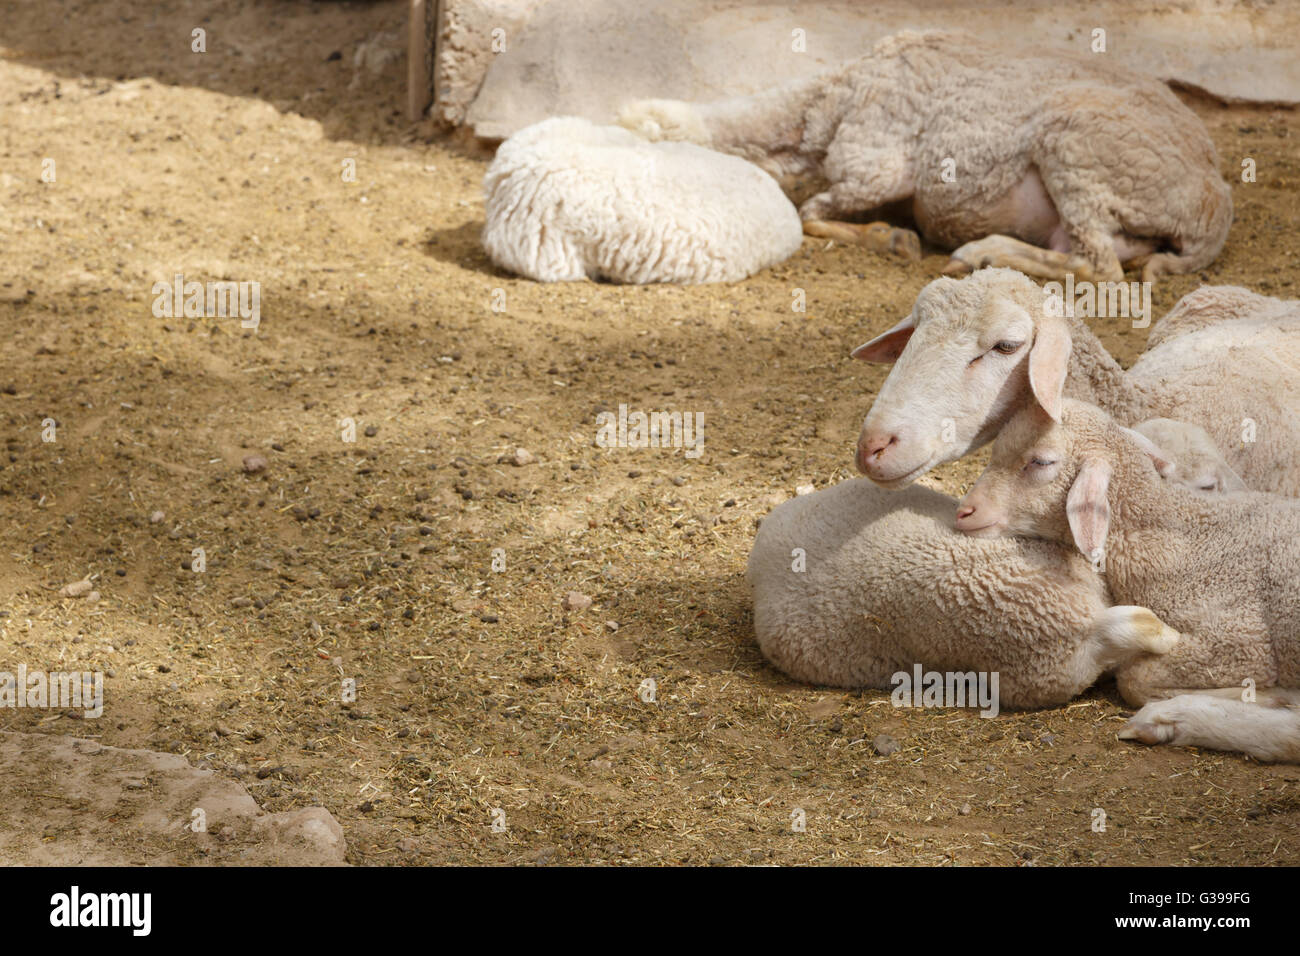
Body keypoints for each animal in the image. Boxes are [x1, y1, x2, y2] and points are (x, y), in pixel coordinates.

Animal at [619, 30, 1231, 283]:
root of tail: (1212, 208)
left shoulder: (872, 165)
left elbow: (809, 212)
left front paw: (890, 240)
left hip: (1079, 145)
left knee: (1097, 266)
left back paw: (977, 254)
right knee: (1112, 255)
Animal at [955, 397, 1300, 761]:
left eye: (1040, 461)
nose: (964, 512)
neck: (1182, 533)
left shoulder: (1246, 639)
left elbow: (1134, 678)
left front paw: (1268, 693)